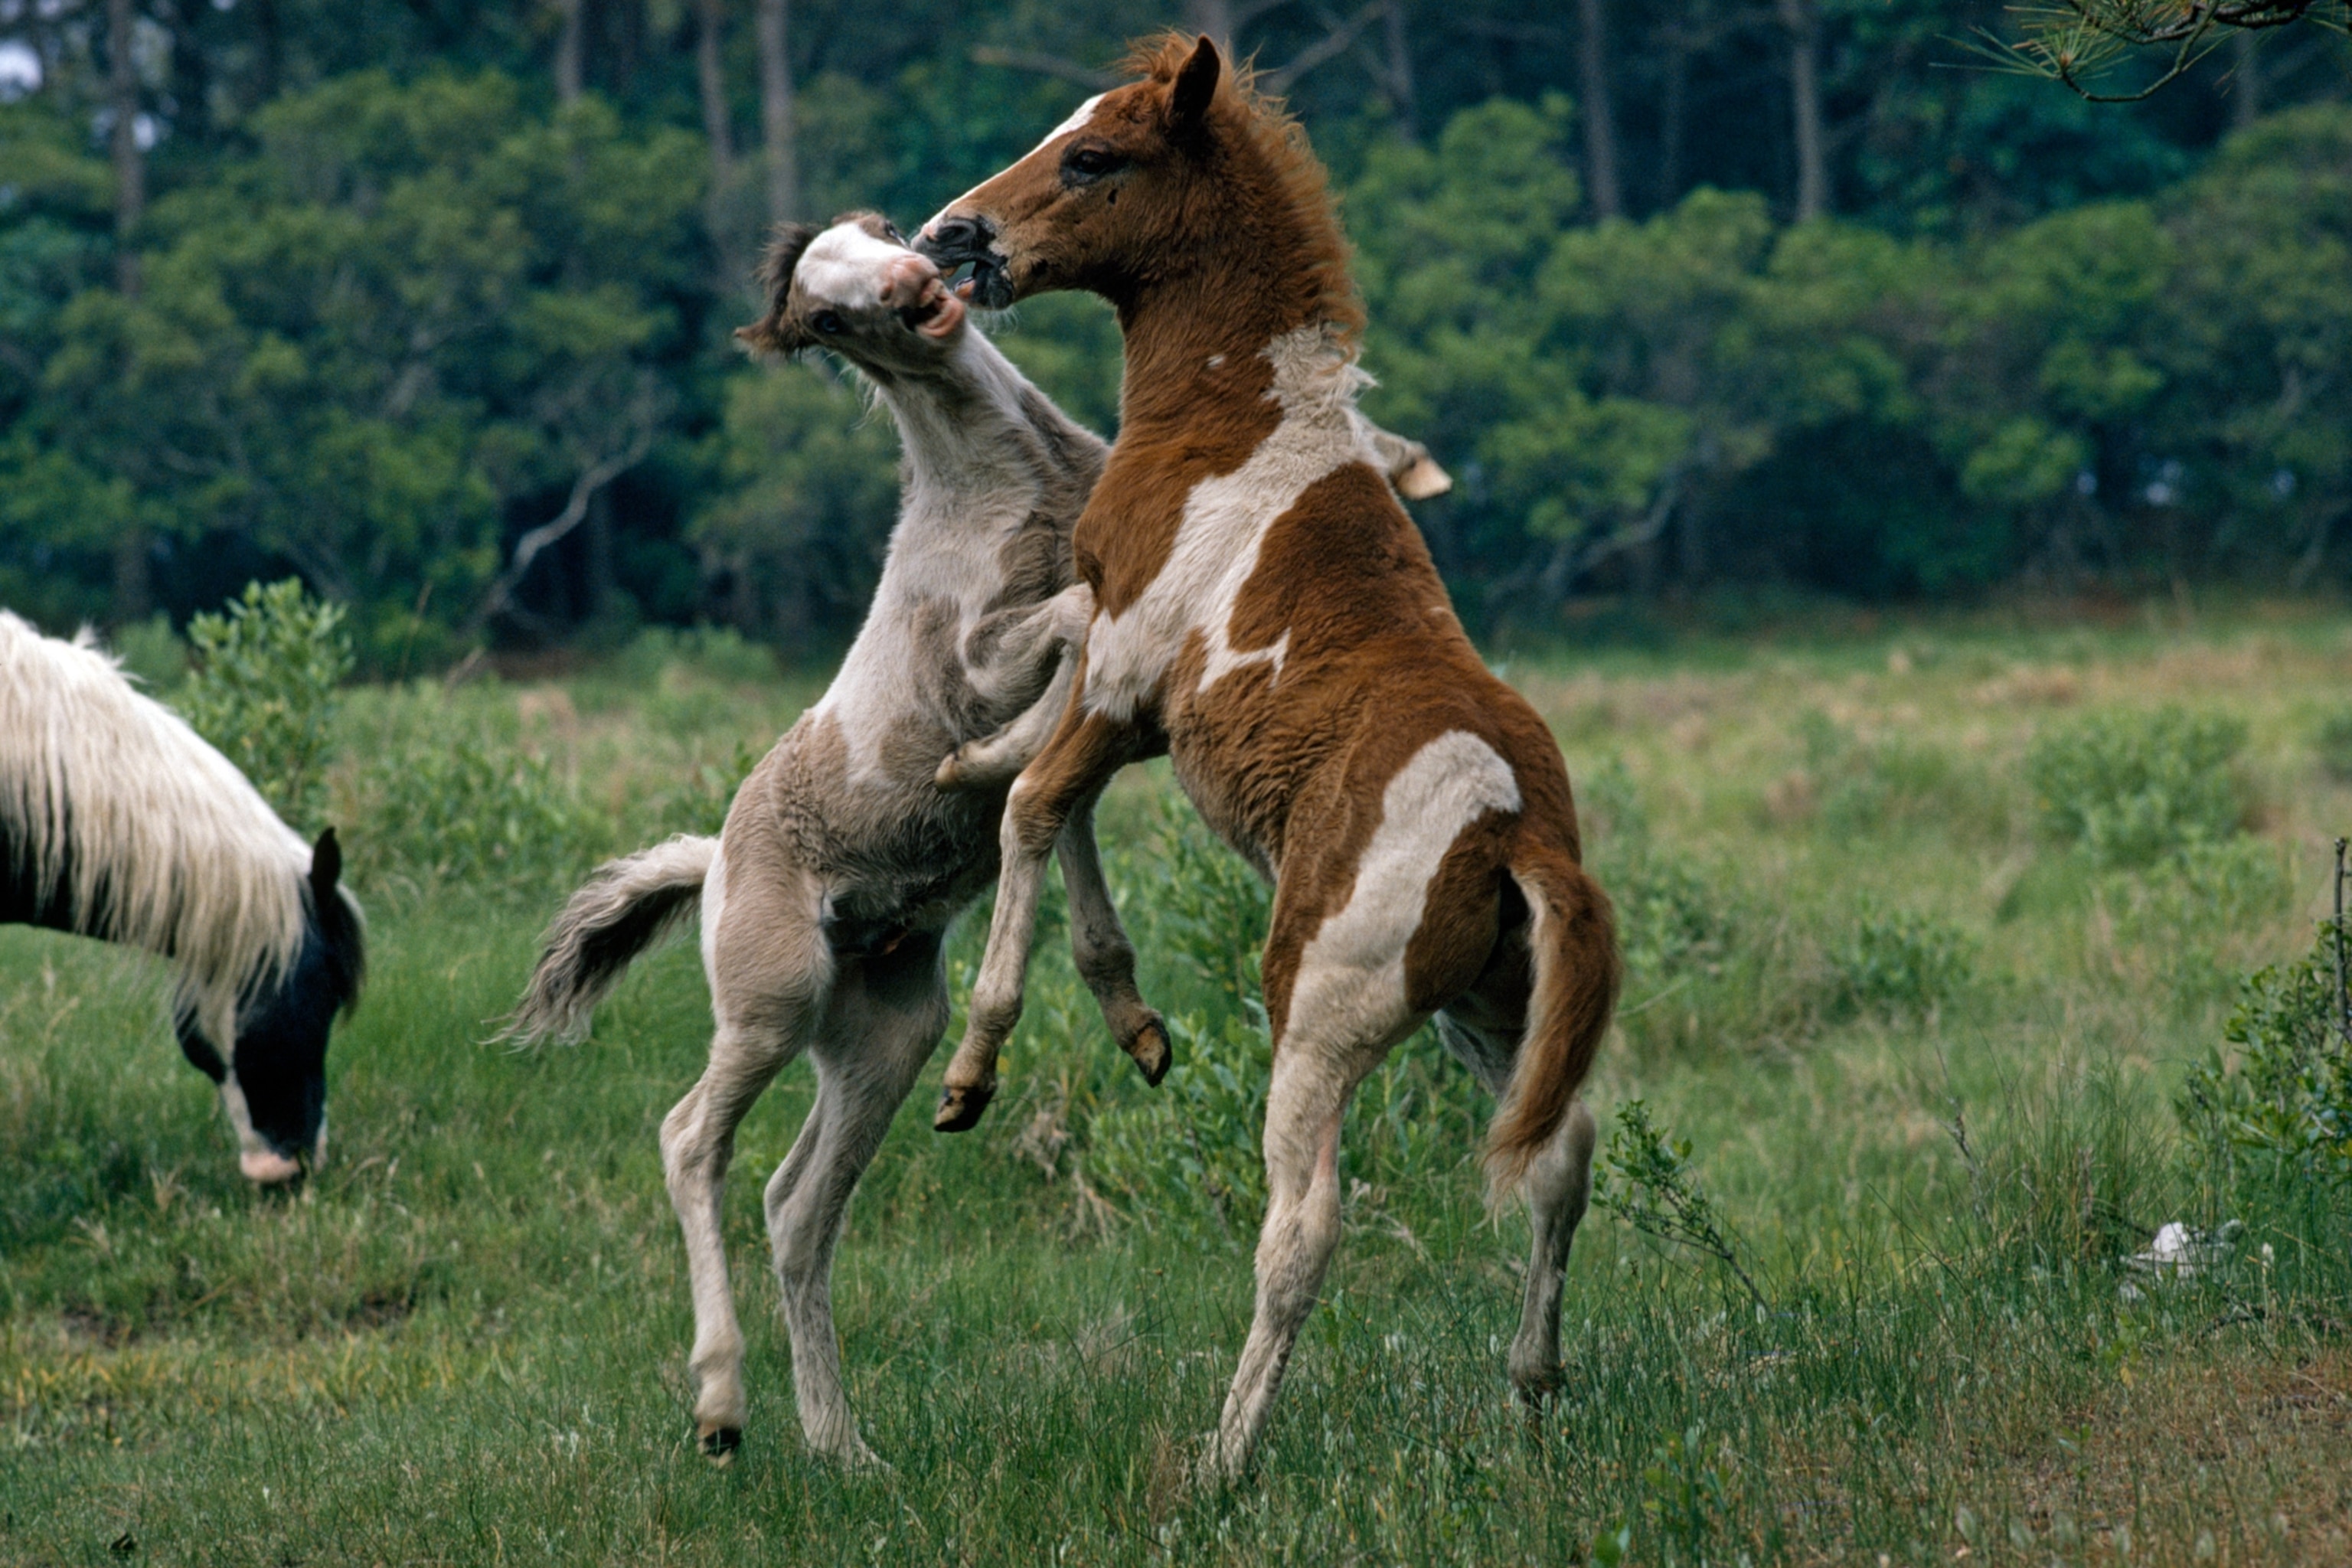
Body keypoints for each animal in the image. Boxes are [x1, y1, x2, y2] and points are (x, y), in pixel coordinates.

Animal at [918, 35, 1620, 1479]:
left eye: (1093, 155)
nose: (954, 237)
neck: (1237, 426)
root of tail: (1514, 832)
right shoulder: (1113, 661)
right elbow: (1039, 751)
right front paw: (1126, 1017)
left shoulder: (1129, 672)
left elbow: (1035, 807)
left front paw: (974, 1069)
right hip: (1492, 1010)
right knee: (1558, 1157)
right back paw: (1529, 1390)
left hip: (1322, 1009)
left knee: (1302, 1228)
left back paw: (1224, 1457)